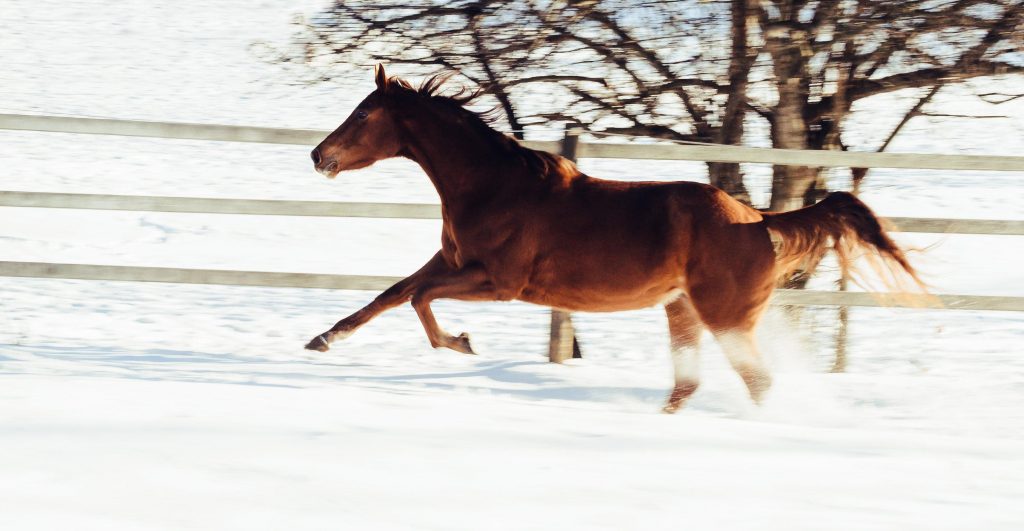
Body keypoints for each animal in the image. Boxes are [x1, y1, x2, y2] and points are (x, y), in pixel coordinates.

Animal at [305, 64, 923, 413]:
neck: (493, 185)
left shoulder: (500, 282)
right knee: (690, 384)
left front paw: (463, 343)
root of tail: (758, 221)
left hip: (726, 316)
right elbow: (392, 293)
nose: (317, 156)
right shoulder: (450, 260)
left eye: (363, 116)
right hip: (683, 310)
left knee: (756, 379)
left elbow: (418, 299)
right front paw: (323, 340)